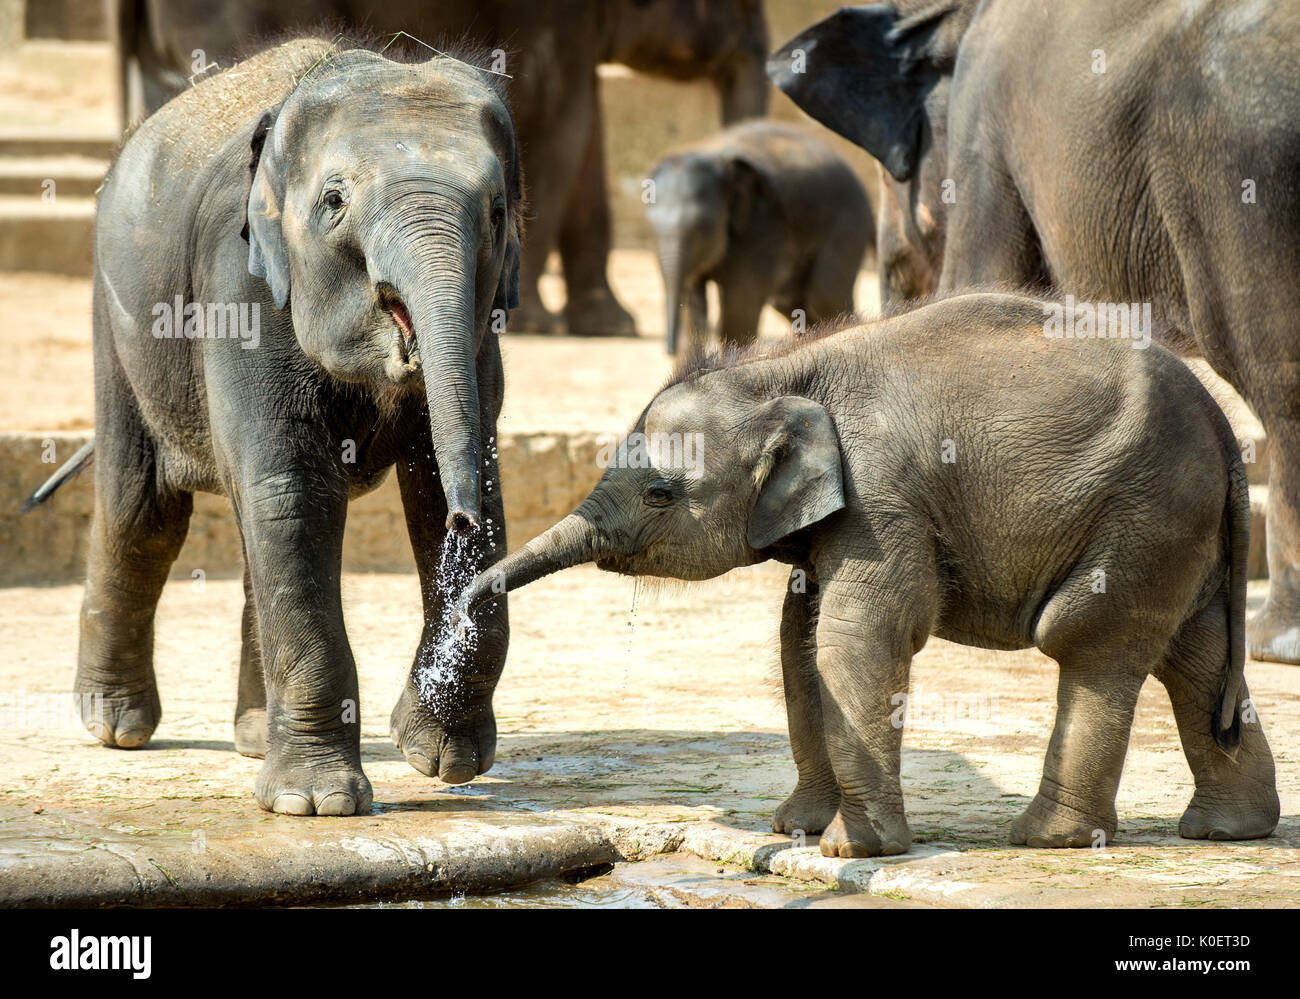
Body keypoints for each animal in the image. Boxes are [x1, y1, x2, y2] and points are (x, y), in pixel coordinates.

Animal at [41, 37, 523, 815]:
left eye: (499, 210)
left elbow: (443, 478)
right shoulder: (236, 281)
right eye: (334, 202)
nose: (464, 521)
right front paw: (316, 804)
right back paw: (115, 726)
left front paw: (439, 756)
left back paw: (250, 736)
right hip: (115, 323)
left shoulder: (484, 330)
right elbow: (292, 490)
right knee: (144, 512)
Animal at [453, 292, 1281, 857]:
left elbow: (856, 637)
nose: (463, 599)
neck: (782, 369)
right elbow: (798, 642)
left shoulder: (883, 499)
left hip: (1144, 505)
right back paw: (1229, 831)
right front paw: (794, 827)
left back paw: (1048, 838)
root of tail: (1224, 426)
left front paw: (852, 849)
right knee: (1196, 655)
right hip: (1178, 524)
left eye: (660, 492)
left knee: (1089, 638)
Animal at [646, 120, 873, 355]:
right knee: (790, 302)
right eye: (650, 226)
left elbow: (739, 308)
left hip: (847, 222)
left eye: (704, 225)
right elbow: (694, 306)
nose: (669, 350)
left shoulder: (760, 224)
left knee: (824, 296)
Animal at [768, 0, 1300, 664]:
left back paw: (1276, 642)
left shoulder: (983, 118)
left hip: (1235, 170)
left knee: (1272, 371)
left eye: (892, 178)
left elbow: (980, 276)